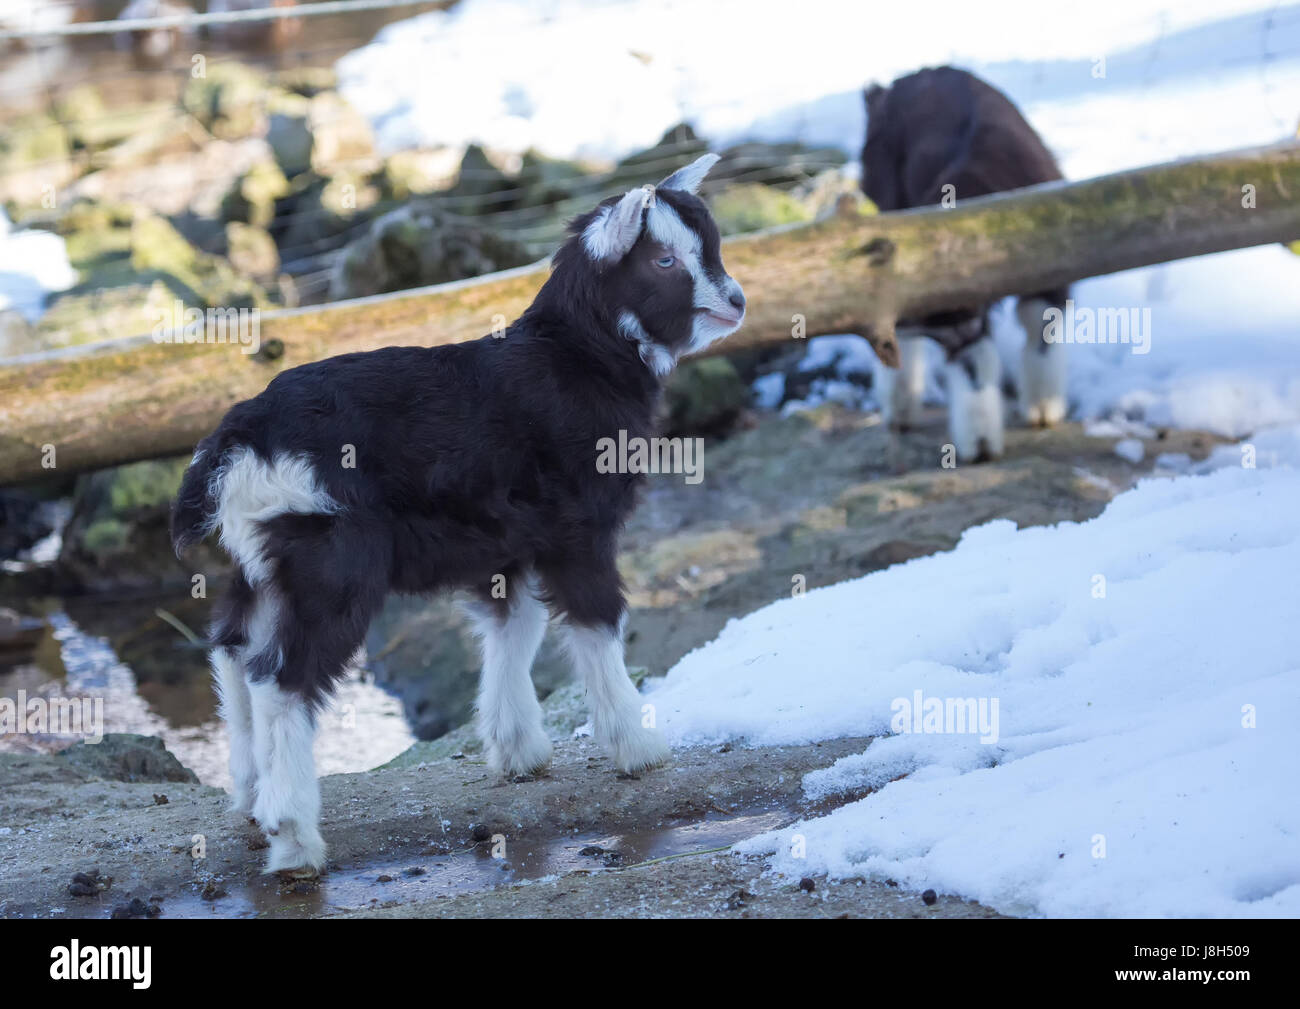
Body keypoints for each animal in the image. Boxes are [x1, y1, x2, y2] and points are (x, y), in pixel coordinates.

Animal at [171, 154, 745, 874]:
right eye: (665, 261)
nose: (736, 301)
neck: (578, 357)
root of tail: (240, 440)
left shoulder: (509, 541)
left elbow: (515, 628)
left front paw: (518, 750)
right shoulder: (578, 531)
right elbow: (597, 622)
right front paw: (638, 748)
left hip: (263, 560)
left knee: (232, 649)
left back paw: (250, 796)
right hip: (331, 557)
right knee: (282, 678)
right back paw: (294, 834)